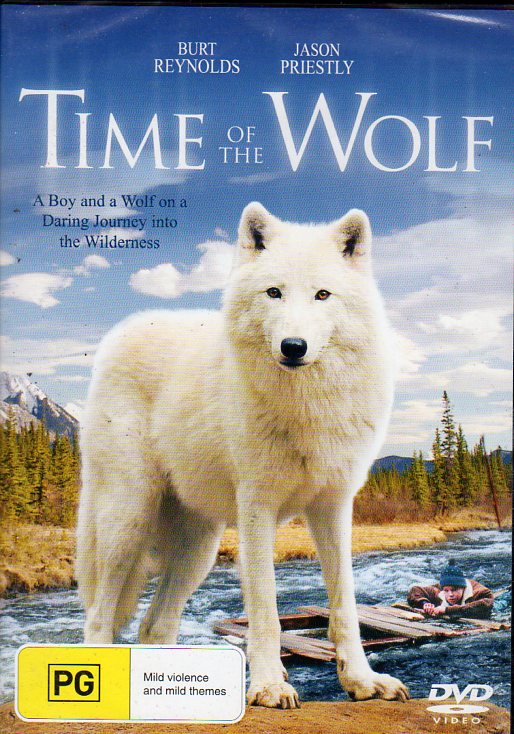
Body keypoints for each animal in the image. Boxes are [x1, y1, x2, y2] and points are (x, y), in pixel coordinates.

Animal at [77, 202, 409, 709]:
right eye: (274, 292)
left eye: (322, 295)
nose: (293, 347)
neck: (305, 405)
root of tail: (120, 331)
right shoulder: (257, 509)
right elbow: (266, 611)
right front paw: (270, 686)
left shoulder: (334, 507)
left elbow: (345, 607)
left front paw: (362, 681)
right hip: (127, 523)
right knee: (99, 616)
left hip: (199, 549)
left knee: (154, 626)